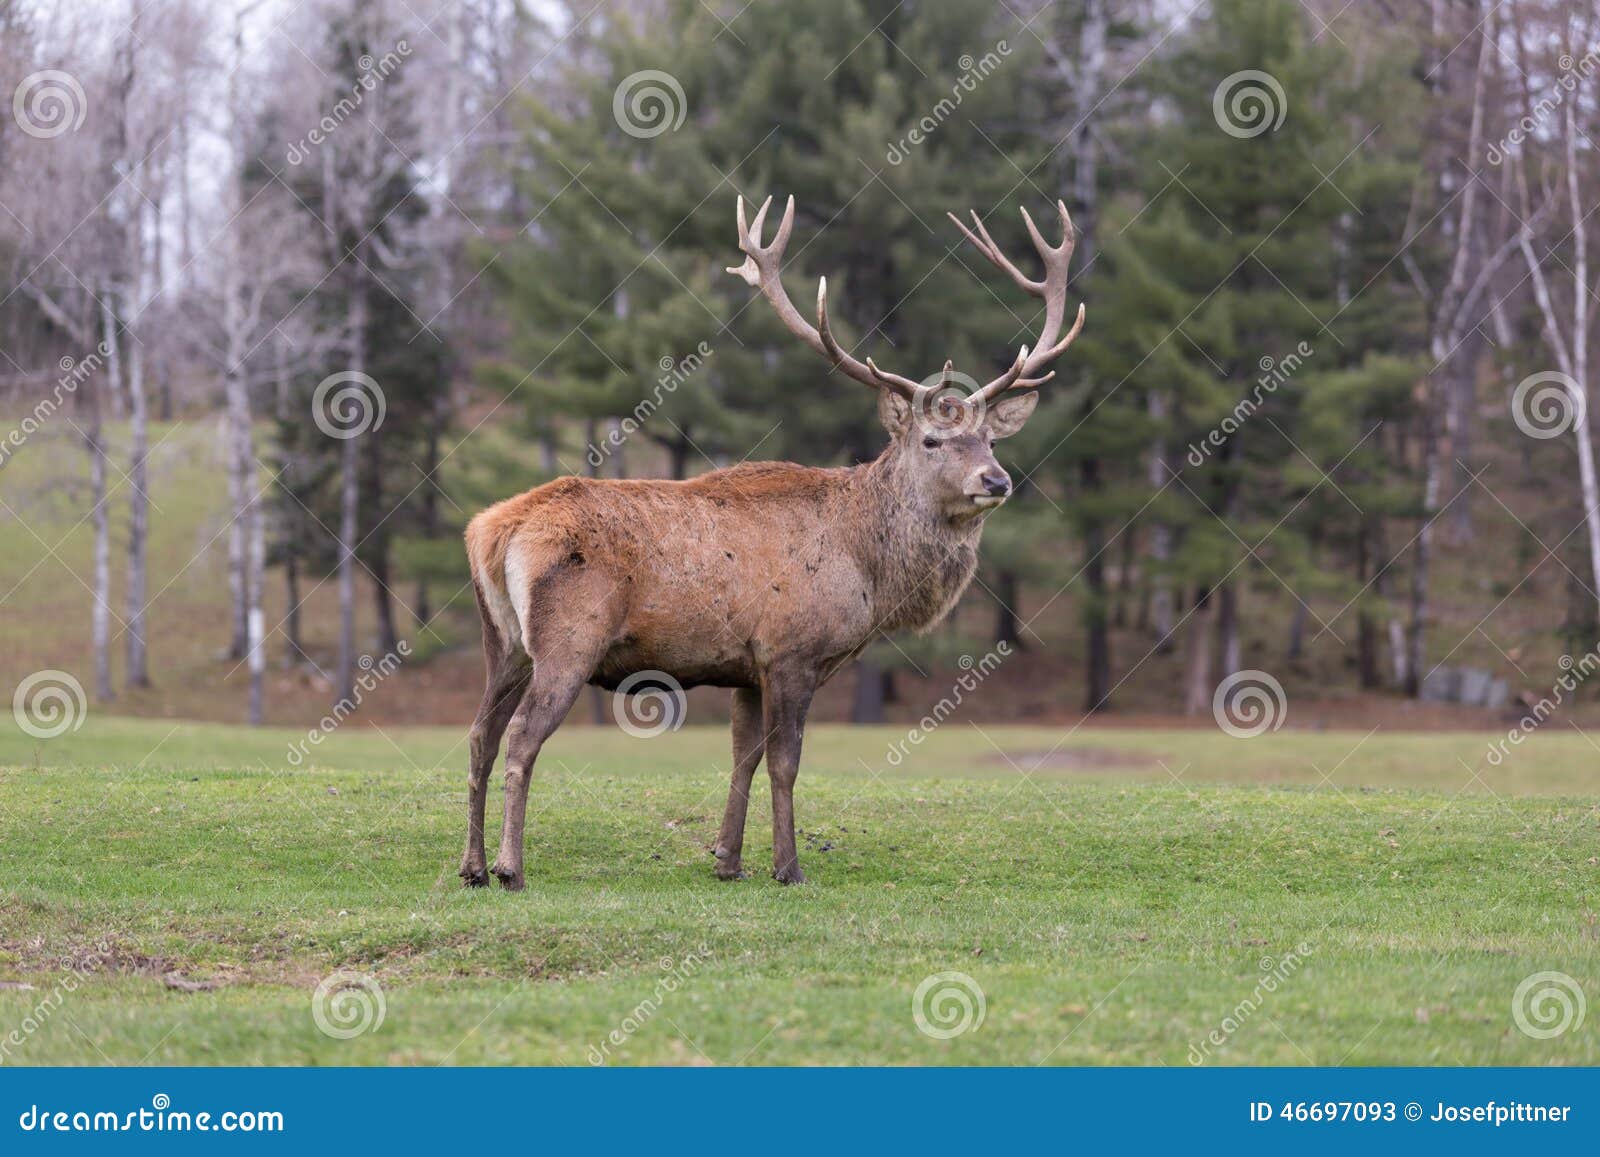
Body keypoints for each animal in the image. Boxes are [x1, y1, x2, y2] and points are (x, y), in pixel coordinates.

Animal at [459, 194, 1084, 889]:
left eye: (992, 440)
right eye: (932, 440)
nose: (996, 480)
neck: (868, 573)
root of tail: (494, 530)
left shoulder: (745, 664)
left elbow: (743, 757)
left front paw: (728, 861)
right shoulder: (790, 649)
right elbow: (785, 761)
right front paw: (788, 867)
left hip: (503, 640)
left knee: (480, 735)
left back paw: (472, 866)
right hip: (569, 638)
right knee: (520, 737)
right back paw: (511, 868)